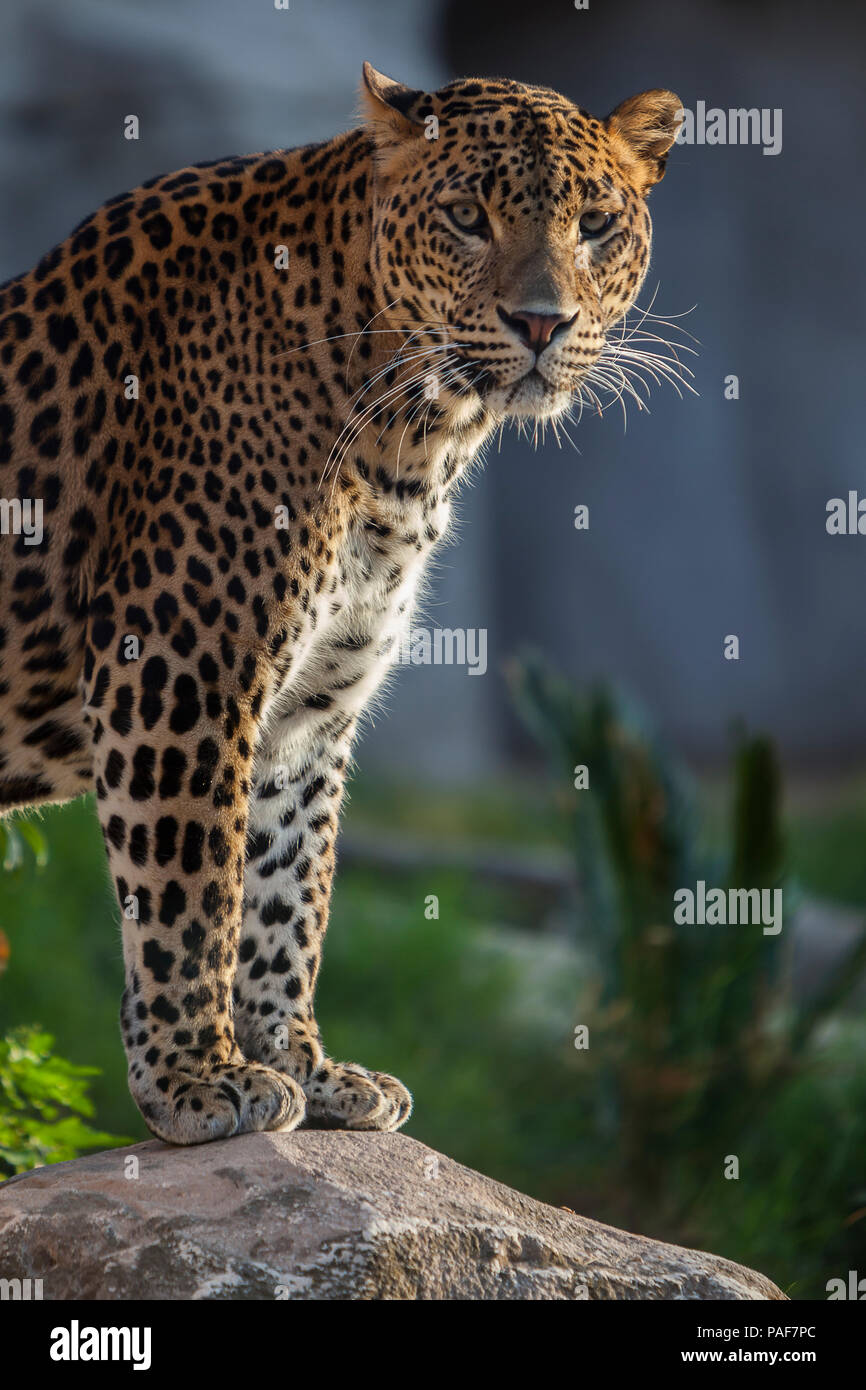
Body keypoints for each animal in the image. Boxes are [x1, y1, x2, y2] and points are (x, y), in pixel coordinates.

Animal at [0, 64, 682, 1144]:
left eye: (597, 225)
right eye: (466, 216)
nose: (542, 324)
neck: (411, 432)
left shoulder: (307, 710)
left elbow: (288, 893)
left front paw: (304, 1068)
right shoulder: (181, 671)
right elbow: (192, 892)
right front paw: (196, 1080)